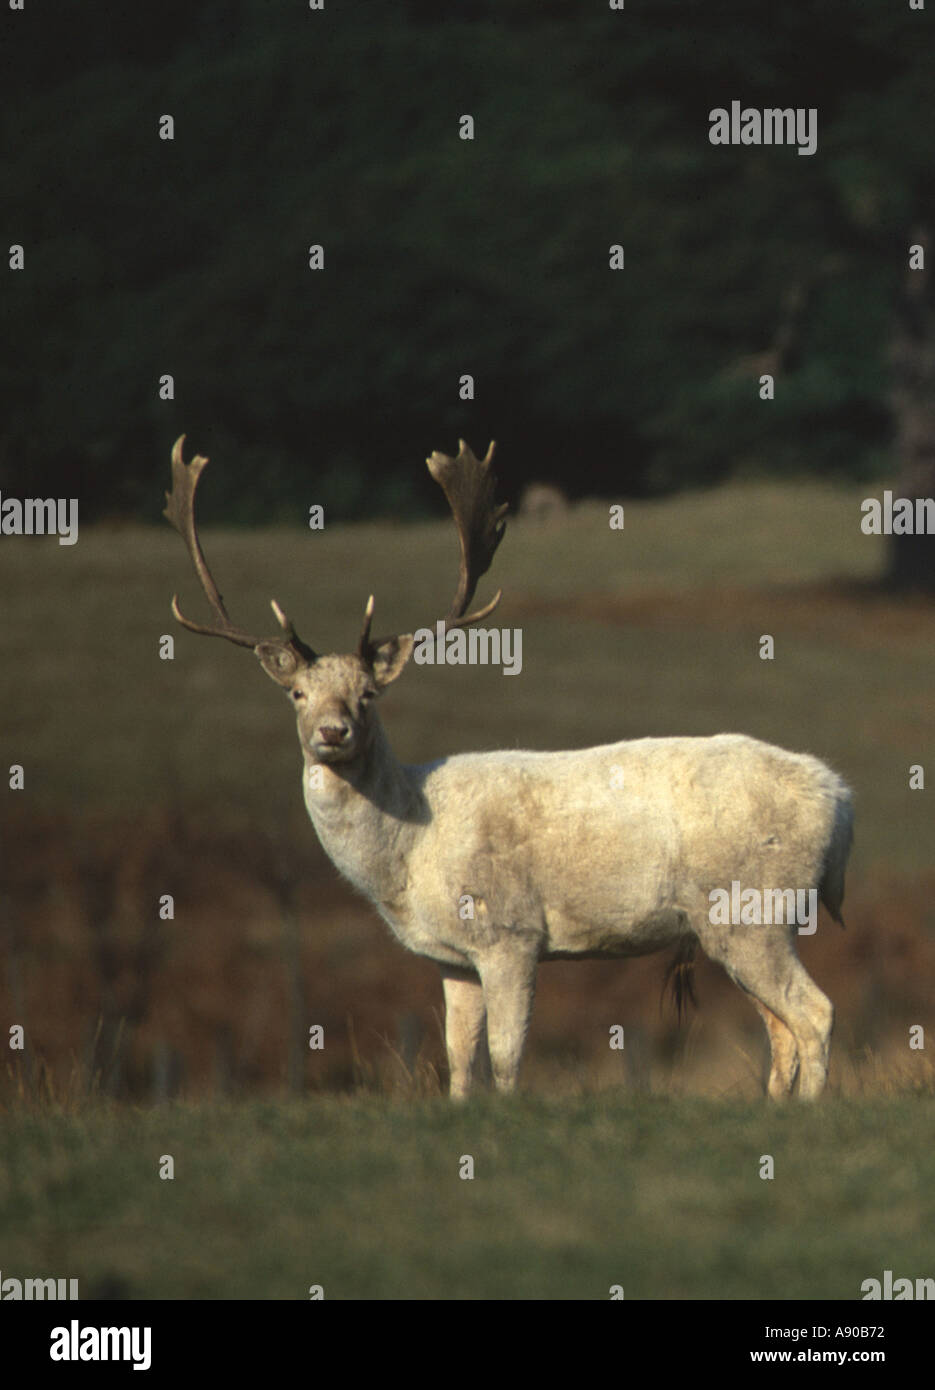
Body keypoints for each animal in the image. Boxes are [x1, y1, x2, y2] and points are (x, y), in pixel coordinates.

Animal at [164, 434, 853, 1100]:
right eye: (298, 694)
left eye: (369, 693)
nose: (333, 733)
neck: (410, 854)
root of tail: (842, 798)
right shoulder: (450, 958)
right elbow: (457, 1059)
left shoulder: (511, 932)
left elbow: (504, 1055)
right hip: (739, 926)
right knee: (782, 1029)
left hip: (751, 907)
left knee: (816, 1013)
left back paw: (812, 1110)